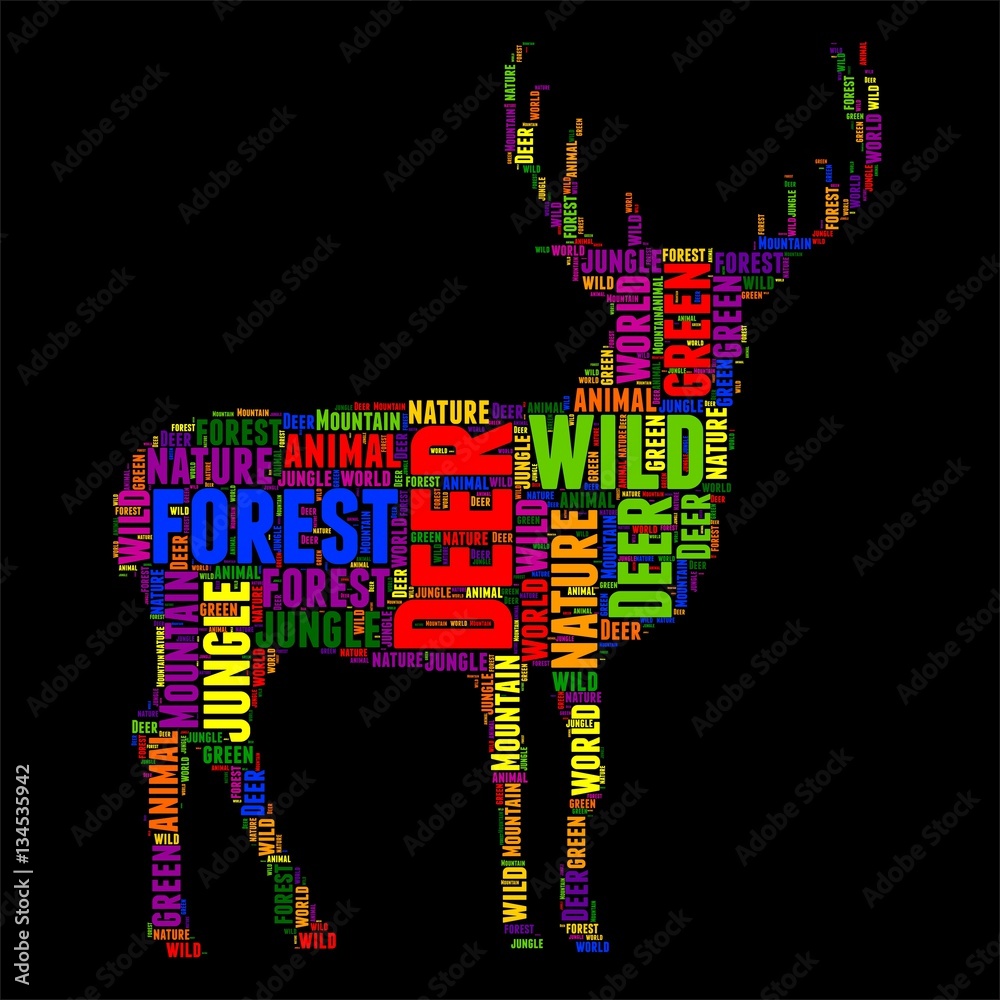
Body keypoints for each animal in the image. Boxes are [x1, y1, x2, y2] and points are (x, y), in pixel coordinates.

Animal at [113, 38, 882, 958]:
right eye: (630, 316)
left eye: (734, 320)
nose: (695, 380)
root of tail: (132, 479)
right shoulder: (509, 627)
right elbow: (521, 770)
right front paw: (525, 925)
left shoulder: (560, 648)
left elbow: (578, 771)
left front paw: (574, 922)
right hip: (199, 598)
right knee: (176, 731)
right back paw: (188, 927)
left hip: (251, 625)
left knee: (198, 730)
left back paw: (293, 920)